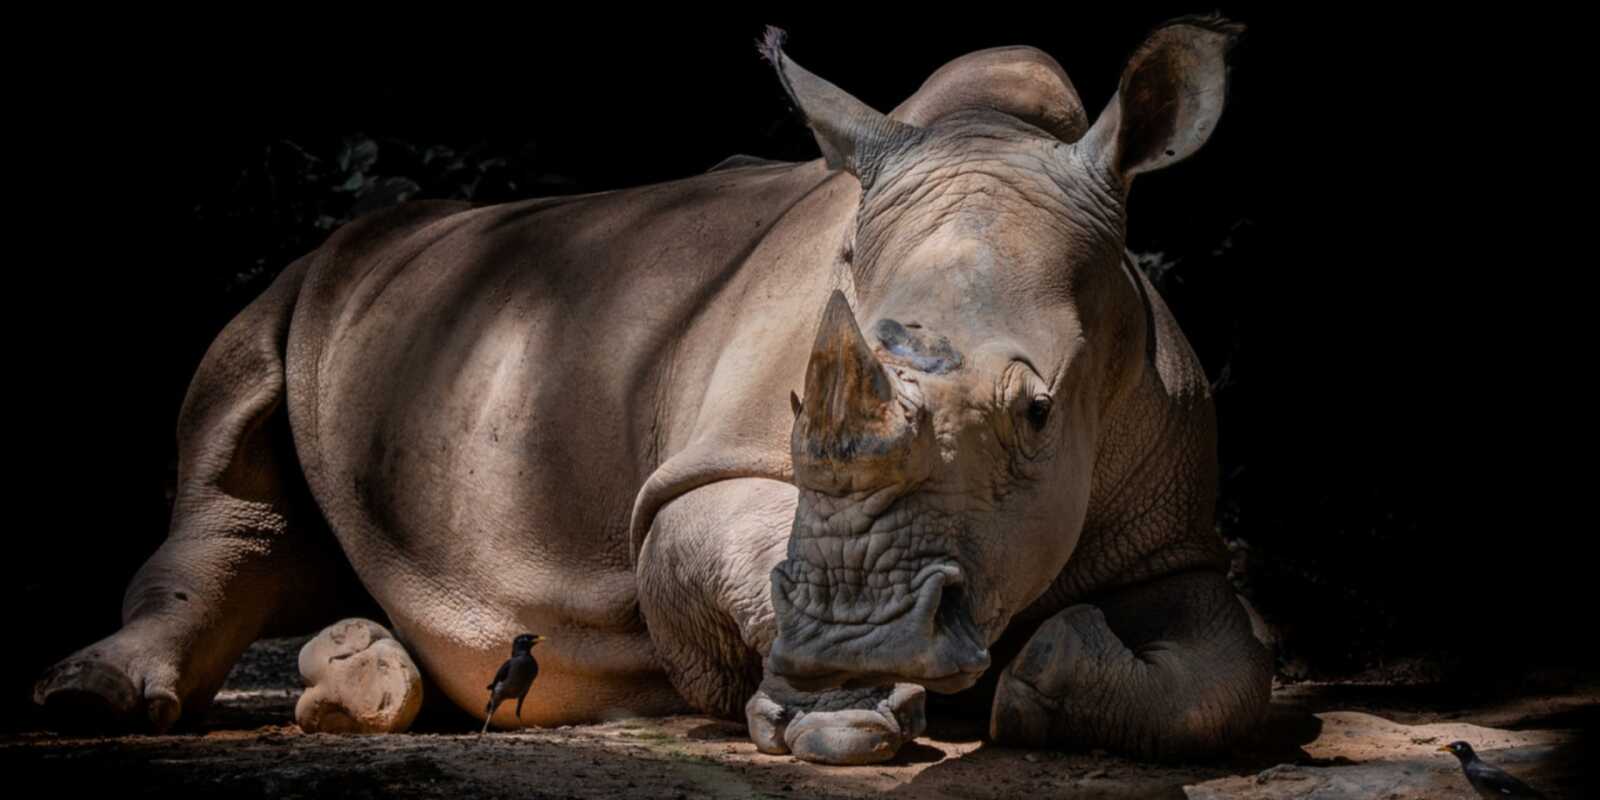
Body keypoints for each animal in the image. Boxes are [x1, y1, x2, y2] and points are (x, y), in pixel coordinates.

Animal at [35, 18, 1270, 764]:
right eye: (796, 408)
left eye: (1037, 414)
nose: (860, 643)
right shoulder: (709, 471)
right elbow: (716, 542)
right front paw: (833, 716)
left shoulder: (1175, 534)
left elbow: (1229, 673)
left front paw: (1034, 680)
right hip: (306, 282)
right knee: (229, 458)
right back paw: (92, 700)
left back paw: (366, 683)